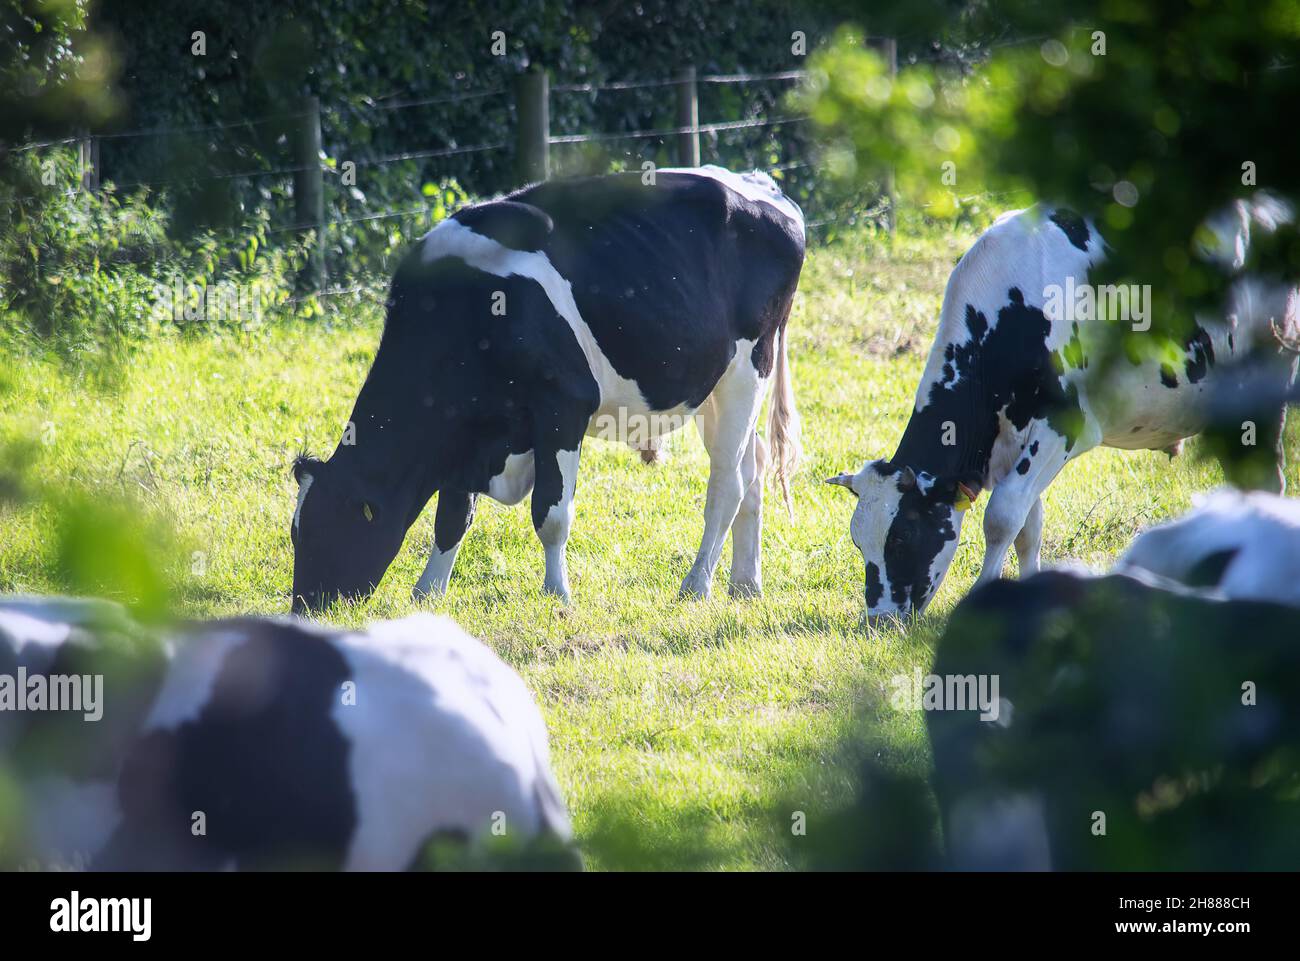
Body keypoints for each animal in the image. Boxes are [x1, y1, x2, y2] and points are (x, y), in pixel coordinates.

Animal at [289, 166, 805, 613]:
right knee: (754, 467)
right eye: (296, 534)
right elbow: (452, 517)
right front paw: (428, 593)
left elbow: (551, 514)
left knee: (727, 484)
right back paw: (745, 584)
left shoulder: (562, 407)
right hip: (713, 387)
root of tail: (760, 185)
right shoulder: (466, 433)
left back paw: (696, 584)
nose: (303, 608)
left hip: (749, 368)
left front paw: (557, 594)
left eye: (326, 531)